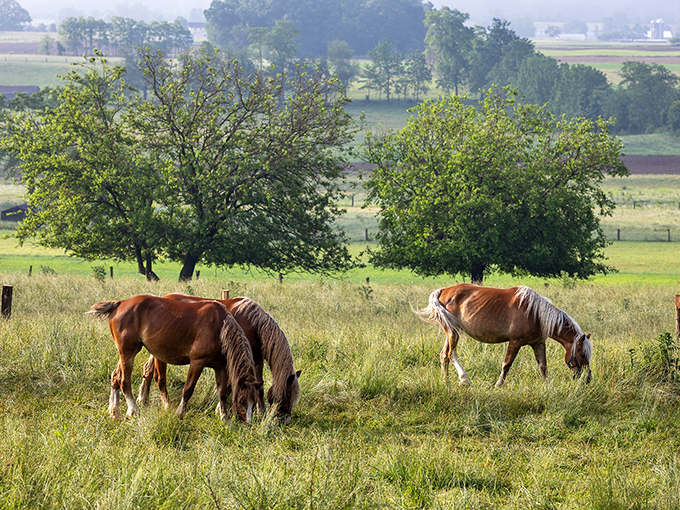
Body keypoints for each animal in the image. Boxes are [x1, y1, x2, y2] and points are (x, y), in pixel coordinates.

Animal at [88, 295, 263, 422]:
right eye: (241, 401)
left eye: (254, 403)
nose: (248, 423)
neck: (220, 328)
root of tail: (120, 303)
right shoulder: (197, 362)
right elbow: (188, 389)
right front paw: (179, 413)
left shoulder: (220, 367)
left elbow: (222, 393)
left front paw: (224, 418)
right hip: (128, 353)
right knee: (125, 381)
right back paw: (133, 410)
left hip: (126, 353)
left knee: (116, 377)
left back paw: (115, 411)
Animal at [137, 293, 301, 424]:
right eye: (287, 396)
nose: (285, 420)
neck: (254, 325)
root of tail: (166, 297)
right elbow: (228, 388)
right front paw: (220, 411)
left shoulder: (256, 361)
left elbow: (258, 388)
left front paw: (261, 412)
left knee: (148, 369)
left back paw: (143, 399)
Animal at [416, 284, 592, 387]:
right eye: (582, 354)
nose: (588, 379)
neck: (535, 313)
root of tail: (443, 291)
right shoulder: (515, 341)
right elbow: (507, 364)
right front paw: (498, 384)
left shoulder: (538, 343)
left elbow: (543, 366)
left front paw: (546, 386)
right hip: (453, 332)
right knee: (451, 354)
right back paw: (464, 379)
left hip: (451, 333)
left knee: (443, 355)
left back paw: (445, 381)